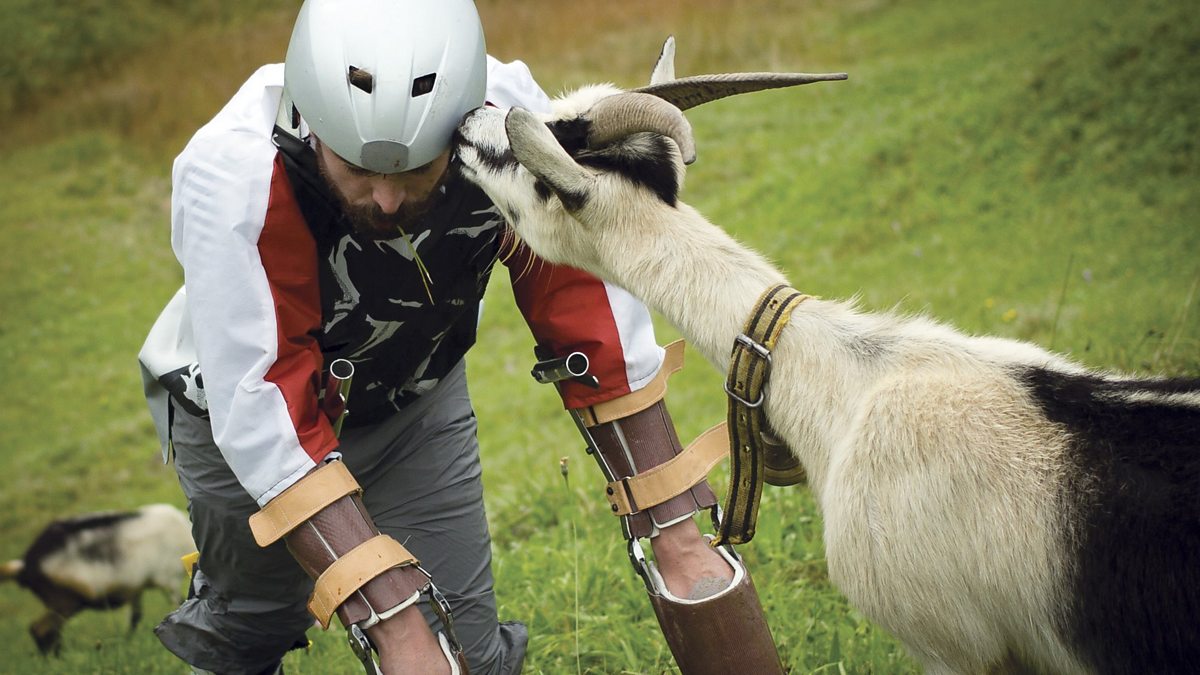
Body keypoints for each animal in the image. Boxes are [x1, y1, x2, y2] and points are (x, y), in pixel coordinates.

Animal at [1, 503, 195, 654]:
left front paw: (127, 641)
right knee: (41, 629)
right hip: (65, 602)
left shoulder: (136, 589)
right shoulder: (168, 580)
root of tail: (26, 565)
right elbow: (178, 605)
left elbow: (135, 617)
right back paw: (56, 657)